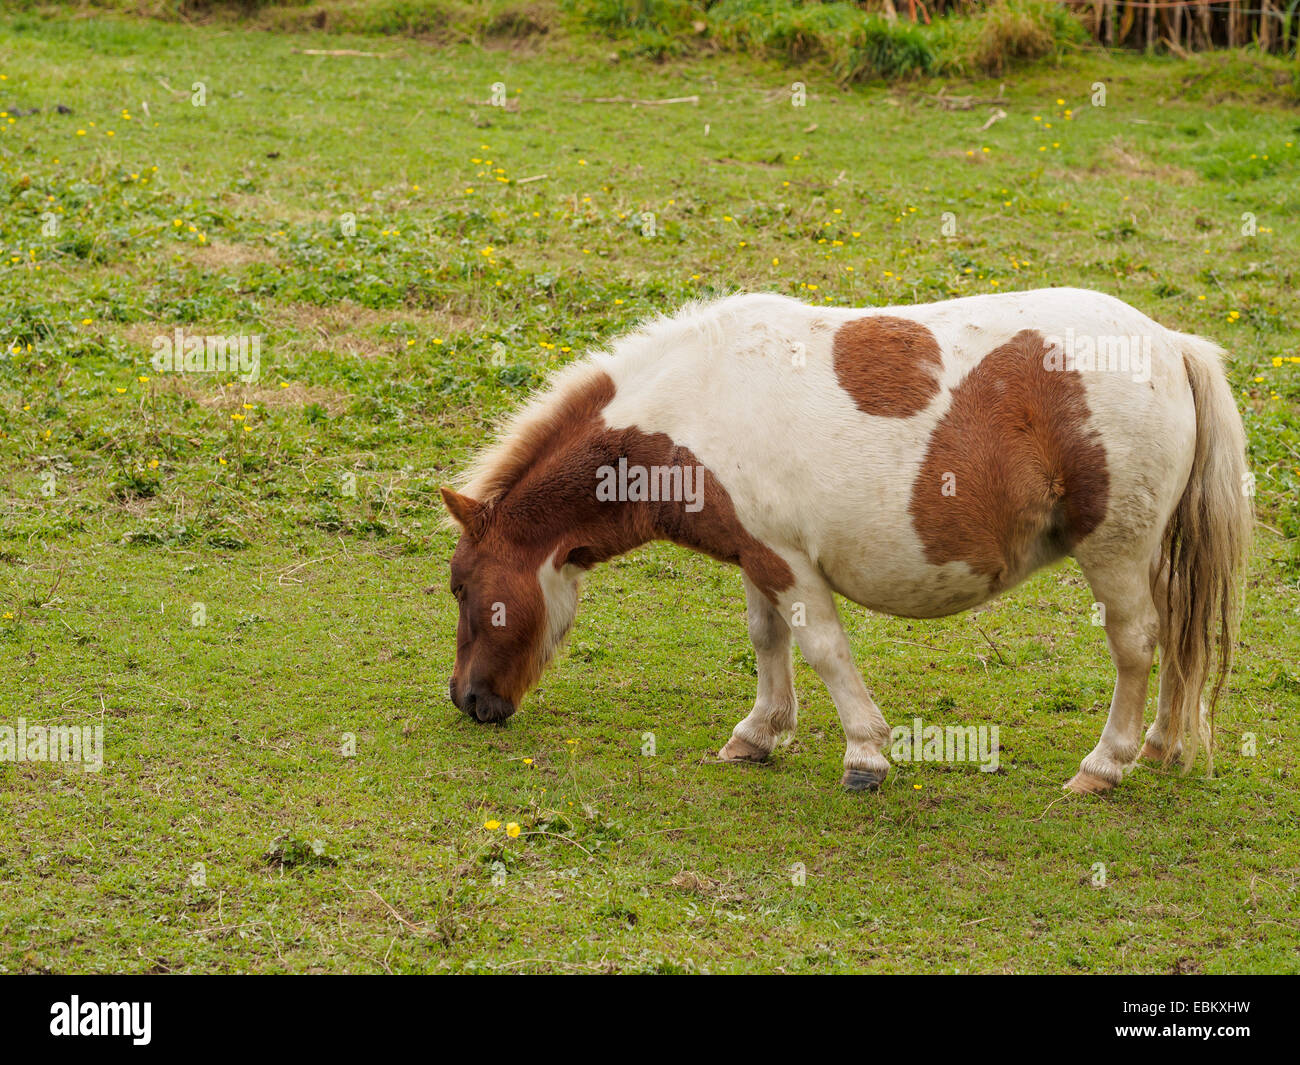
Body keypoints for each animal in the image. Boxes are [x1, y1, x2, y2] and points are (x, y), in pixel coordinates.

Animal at [441, 289, 1252, 795]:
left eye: (462, 587)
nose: (468, 699)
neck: (694, 409)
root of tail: (1170, 344)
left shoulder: (789, 562)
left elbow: (824, 648)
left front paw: (865, 752)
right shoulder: (757, 556)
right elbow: (767, 639)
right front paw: (758, 734)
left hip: (1115, 551)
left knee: (1137, 646)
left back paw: (1105, 764)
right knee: (1177, 636)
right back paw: (1162, 745)